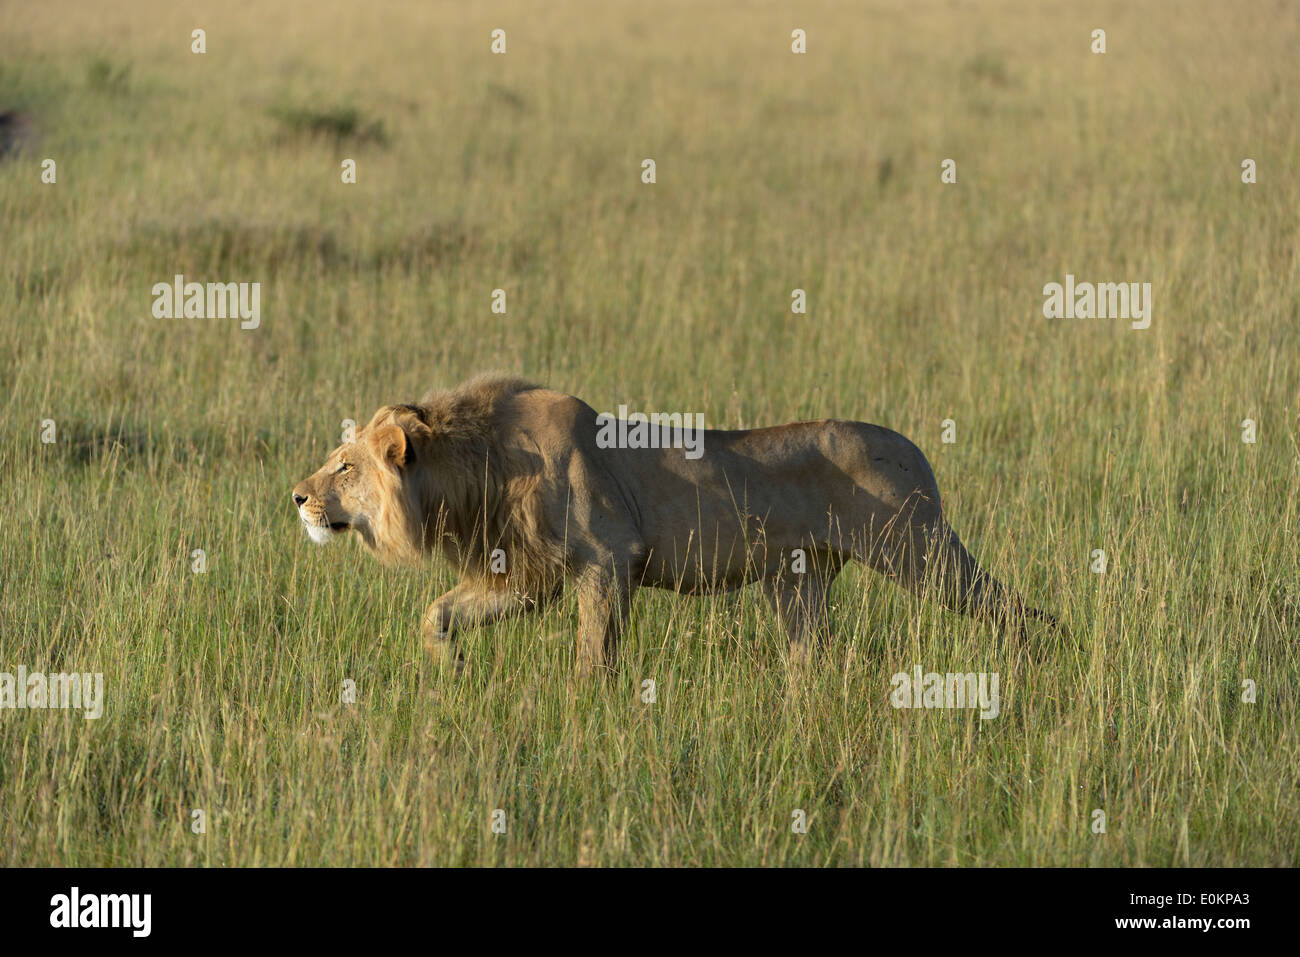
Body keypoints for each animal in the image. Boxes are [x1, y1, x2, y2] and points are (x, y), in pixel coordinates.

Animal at [292, 373, 1056, 676]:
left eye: (345, 467)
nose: (297, 497)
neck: (477, 464)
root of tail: (916, 448)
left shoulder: (610, 557)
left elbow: (594, 652)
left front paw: (586, 708)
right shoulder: (532, 574)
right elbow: (440, 610)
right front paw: (448, 666)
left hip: (921, 552)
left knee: (1012, 608)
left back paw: (1036, 661)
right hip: (798, 581)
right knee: (809, 656)